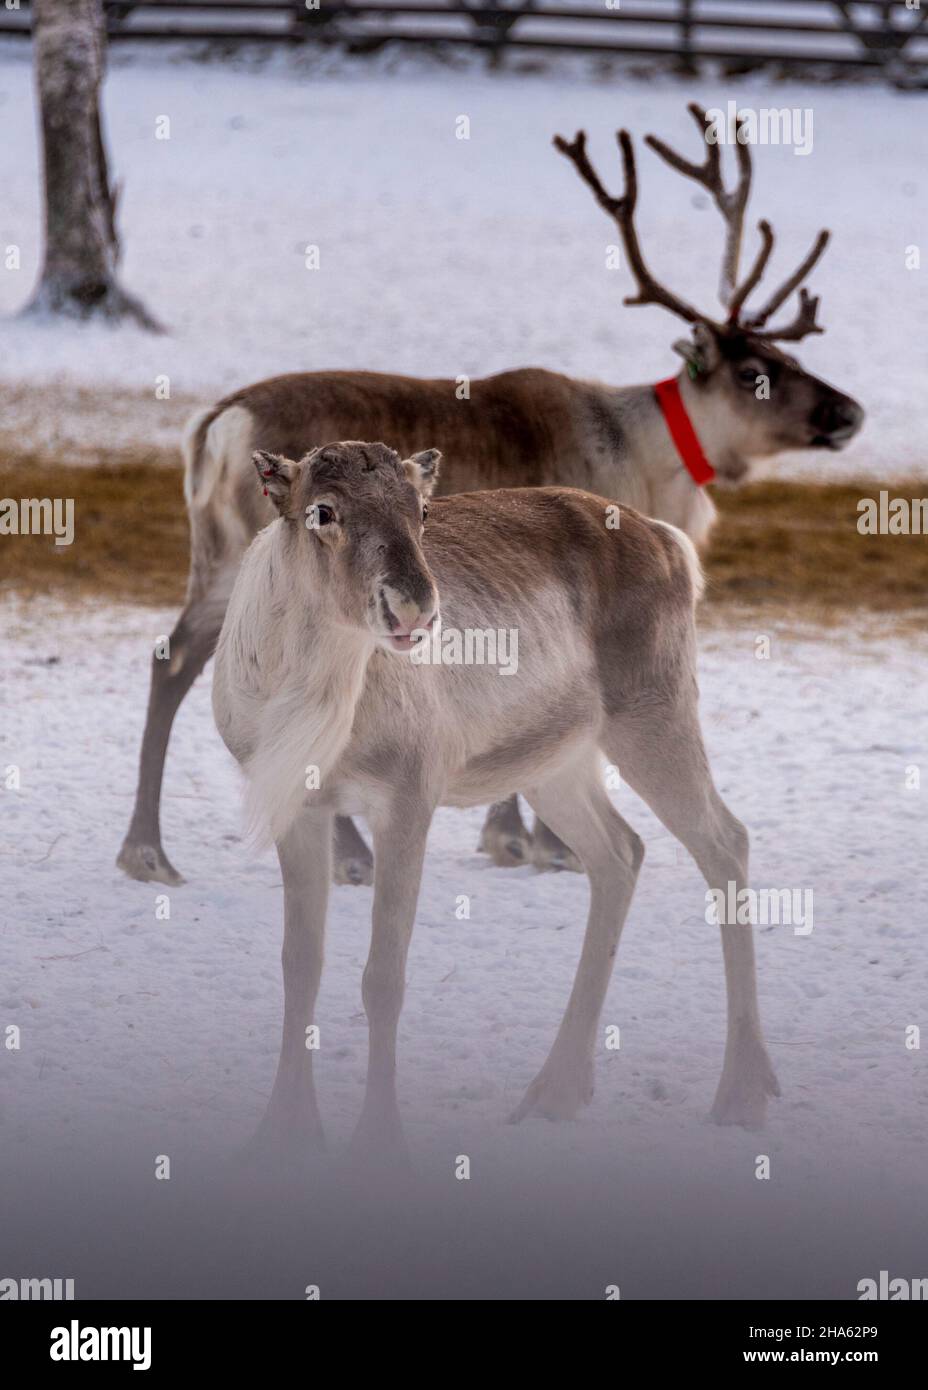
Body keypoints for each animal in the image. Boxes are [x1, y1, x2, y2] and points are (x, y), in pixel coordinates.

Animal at [118, 104, 863, 890]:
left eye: (791, 356)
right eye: (754, 371)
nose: (849, 412)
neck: (646, 462)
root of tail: (214, 425)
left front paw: (514, 836)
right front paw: (531, 841)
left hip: (218, 560)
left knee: (169, 655)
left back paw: (160, 850)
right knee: (187, 662)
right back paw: (258, 851)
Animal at [212, 439, 780, 1154]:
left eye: (422, 509)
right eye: (322, 510)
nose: (413, 606)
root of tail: (671, 543)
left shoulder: (410, 794)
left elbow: (383, 978)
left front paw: (379, 1143)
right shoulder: (297, 802)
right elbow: (299, 966)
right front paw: (283, 1133)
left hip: (654, 713)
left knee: (726, 840)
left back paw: (743, 1093)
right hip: (554, 760)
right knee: (621, 851)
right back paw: (555, 1091)